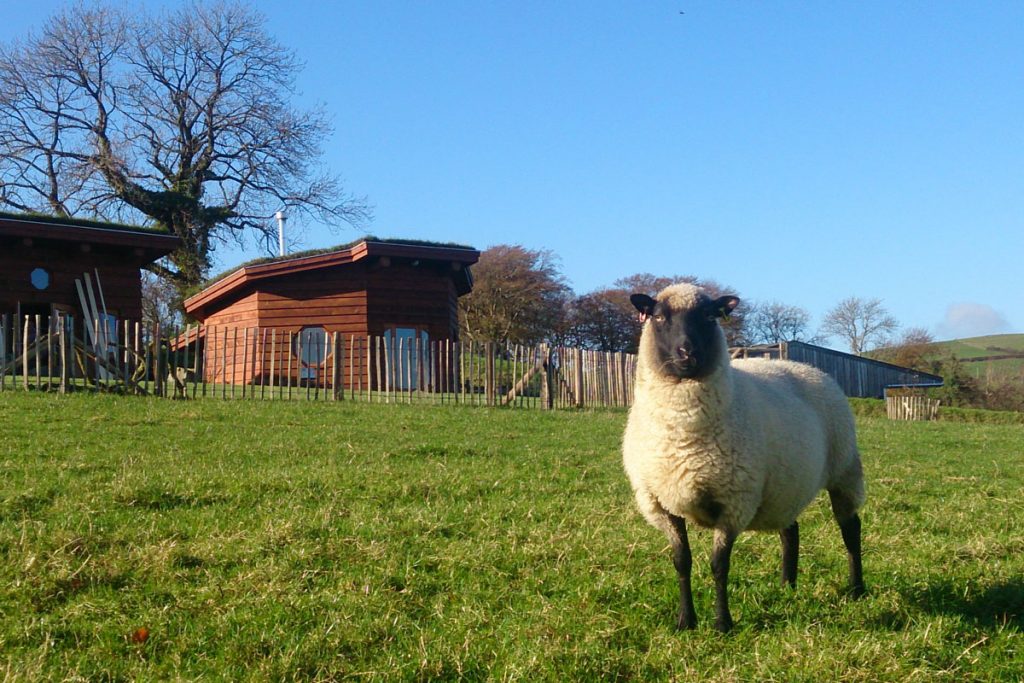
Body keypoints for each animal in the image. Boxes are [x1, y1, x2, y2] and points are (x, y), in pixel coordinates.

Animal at [622, 283, 865, 633]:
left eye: (709, 316)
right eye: (658, 316)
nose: (687, 353)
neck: (684, 434)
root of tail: (809, 367)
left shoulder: (734, 500)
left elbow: (719, 565)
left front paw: (723, 623)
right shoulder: (659, 502)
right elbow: (682, 561)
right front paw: (686, 621)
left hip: (844, 470)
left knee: (850, 529)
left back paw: (857, 588)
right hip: (784, 484)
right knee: (790, 531)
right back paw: (787, 586)